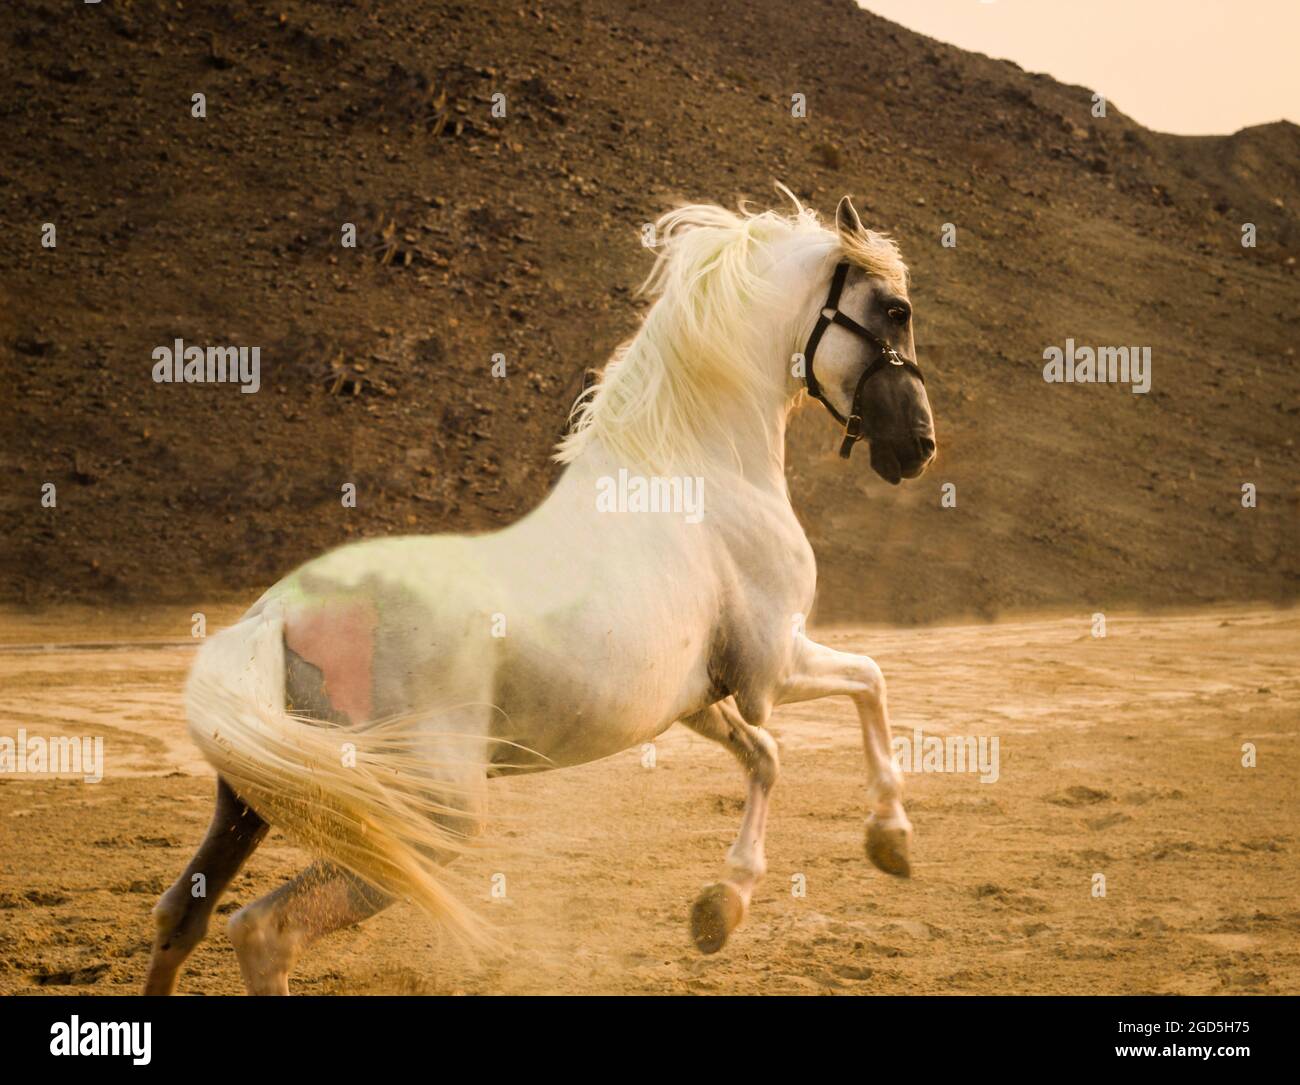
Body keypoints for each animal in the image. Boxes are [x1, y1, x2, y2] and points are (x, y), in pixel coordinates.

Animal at [143, 189, 936, 994]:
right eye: (895, 308)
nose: (919, 447)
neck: (699, 474)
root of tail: (276, 615)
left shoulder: (696, 702)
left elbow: (766, 757)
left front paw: (722, 906)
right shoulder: (772, 670)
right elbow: (871, 681)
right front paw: (891, 840)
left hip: (254, 803)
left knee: (182, 914)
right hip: (425, 818)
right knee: (265, 932)